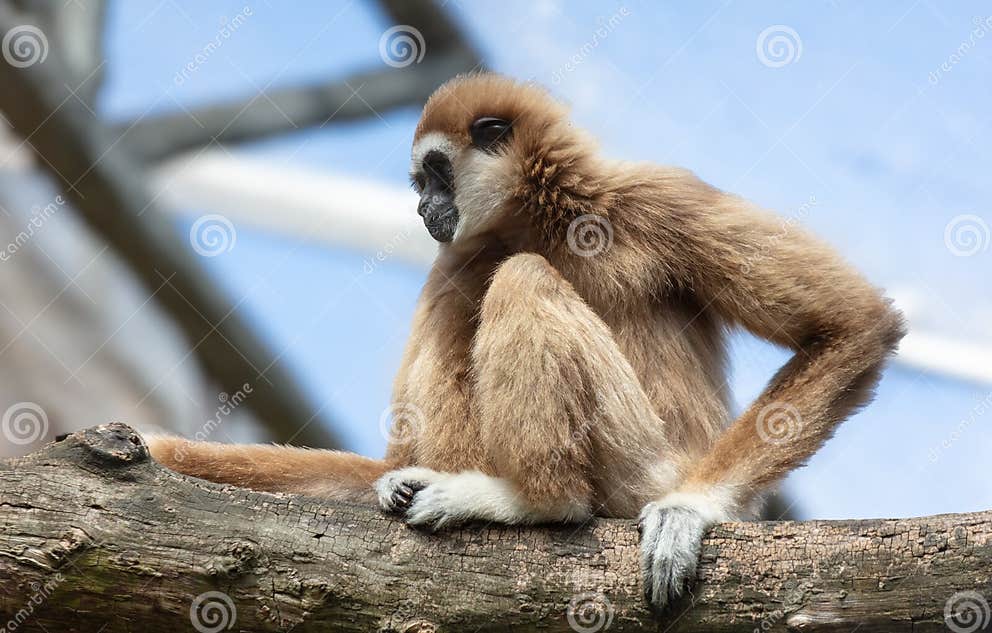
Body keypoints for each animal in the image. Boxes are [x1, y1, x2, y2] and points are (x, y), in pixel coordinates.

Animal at [146, 73, 905, 612]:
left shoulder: (662, 195)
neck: (550, 214)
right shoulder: (460, 248)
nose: (421, 205)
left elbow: (853, 323)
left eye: (433, 173)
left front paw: (693, 510)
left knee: (522, 279)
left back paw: (537, 499)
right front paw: (397, 475)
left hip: (641, 463)